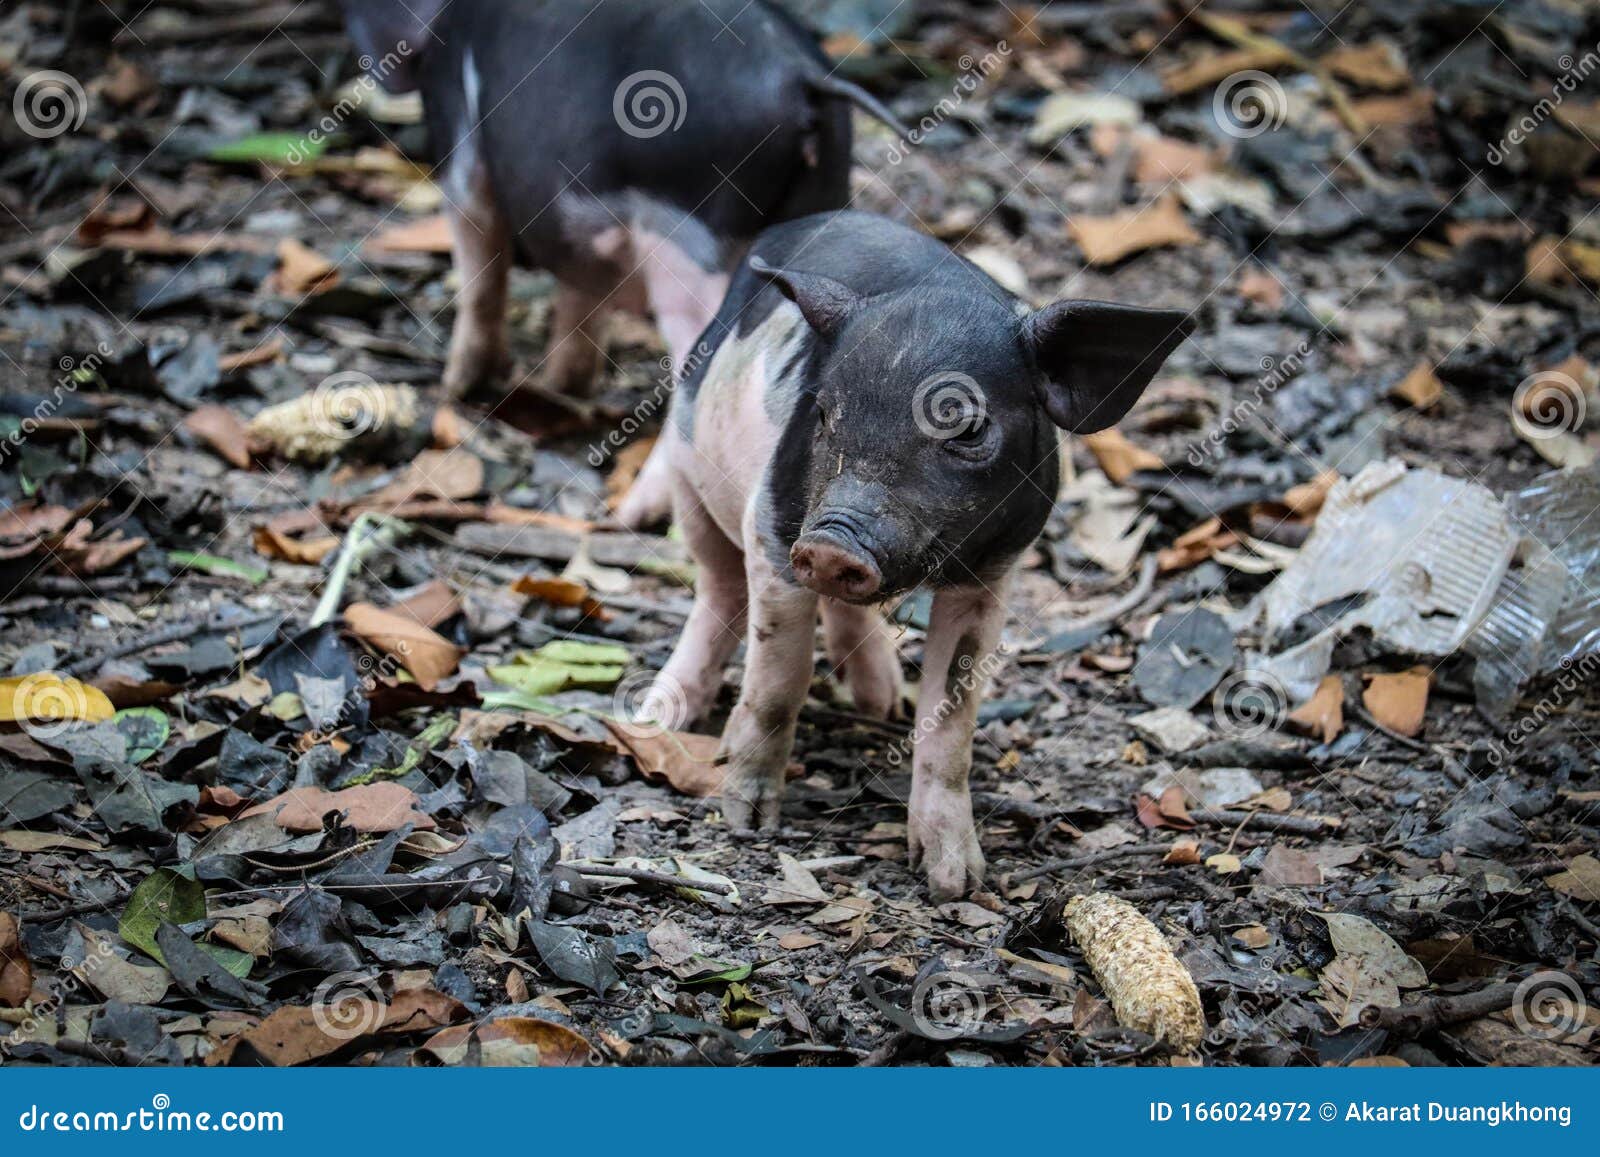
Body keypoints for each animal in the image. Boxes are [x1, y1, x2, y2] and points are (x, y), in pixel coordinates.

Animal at [338, 0, 904, 429]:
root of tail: (799, 77)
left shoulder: (460, 147)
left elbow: (480, 267)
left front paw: (458, 387)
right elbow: (580, 290)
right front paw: (563, 386)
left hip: (690, 246)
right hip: (826, 198)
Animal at [636, 209, 1192, 900]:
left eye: (967, 426)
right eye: (824, 413)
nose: (831, 543)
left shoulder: (993, 573)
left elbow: (952, 712)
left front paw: (956, 882)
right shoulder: (772, 531)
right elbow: (778, 679)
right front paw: (747, 821)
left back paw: (882, 701)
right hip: (687, 472)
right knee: (718, 588)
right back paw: (659, 718)